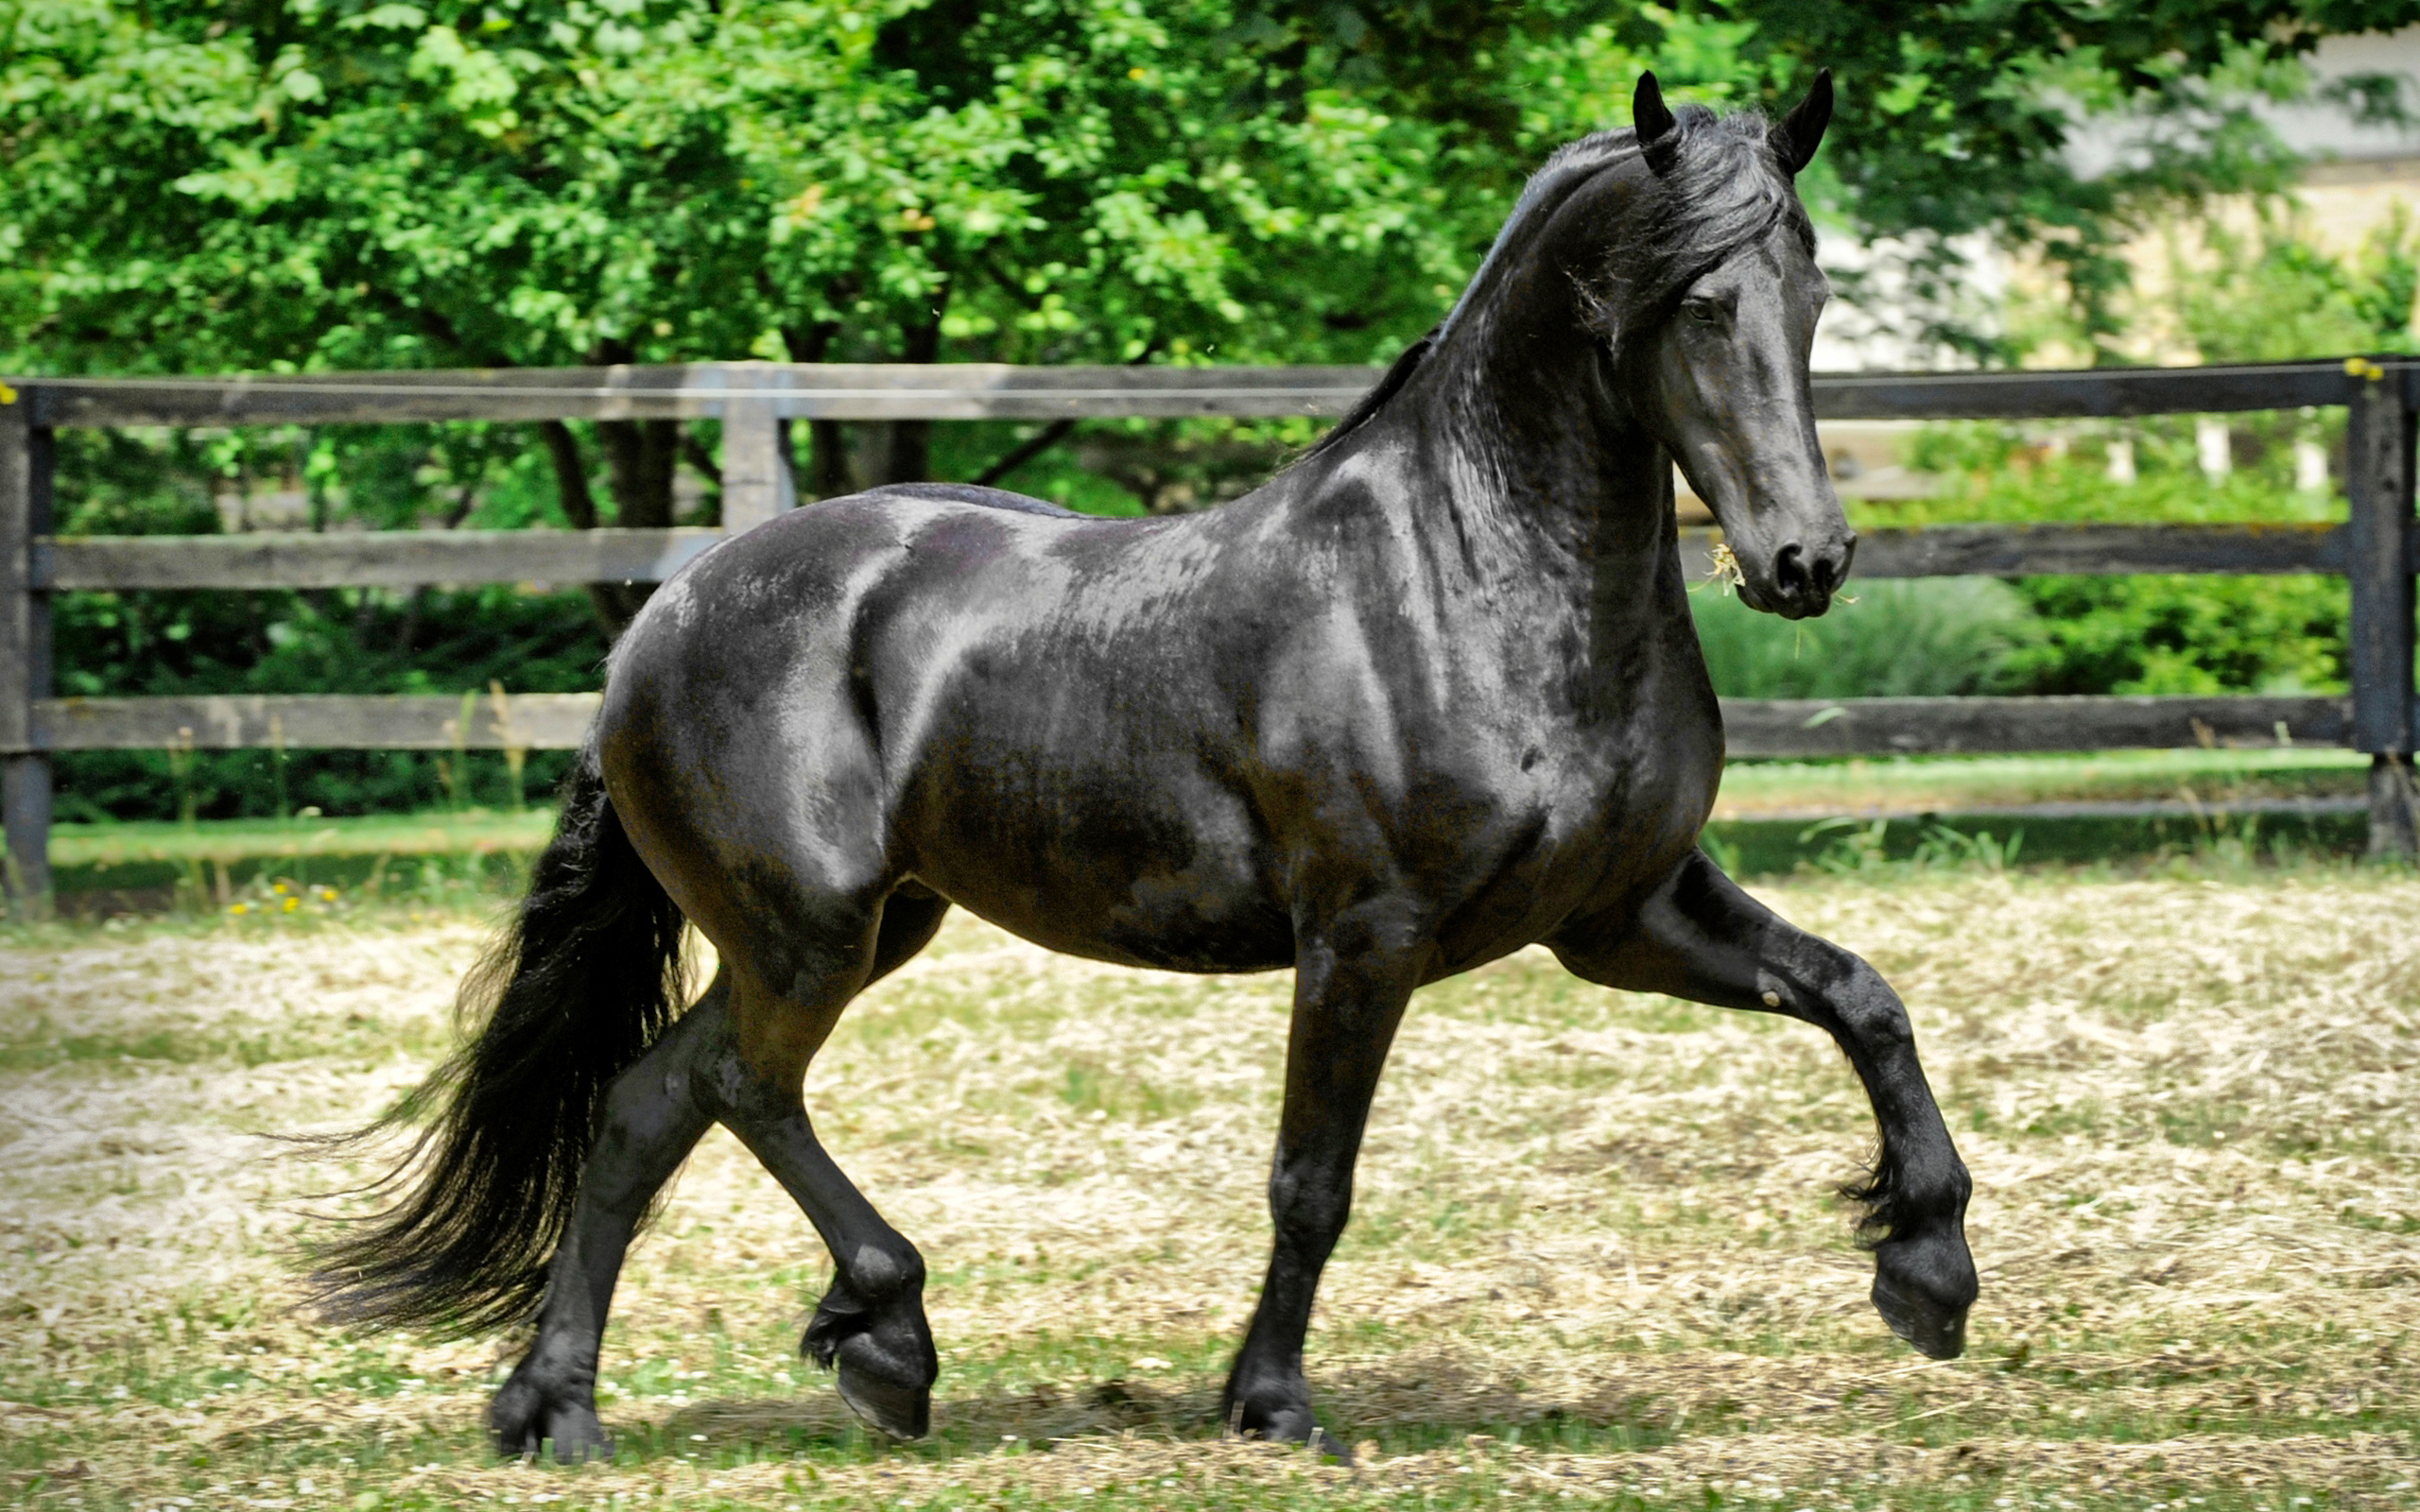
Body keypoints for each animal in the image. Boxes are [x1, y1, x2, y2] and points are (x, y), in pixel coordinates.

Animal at [310, 70, 1977, 1462]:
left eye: (1811, 285)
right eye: (1693, 298)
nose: (1804, 562)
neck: (1471, 579)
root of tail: (660, 621)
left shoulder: (1622, 916)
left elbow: (1863, 998)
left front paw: (1932, 1271)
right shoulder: (1364, 935)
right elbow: (1313, 1179)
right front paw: (1270, 1402)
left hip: (870, 926)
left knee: (650, 1103)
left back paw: (558, 1410)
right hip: (808, 932)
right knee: (728, 1086)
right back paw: (881, 1336)